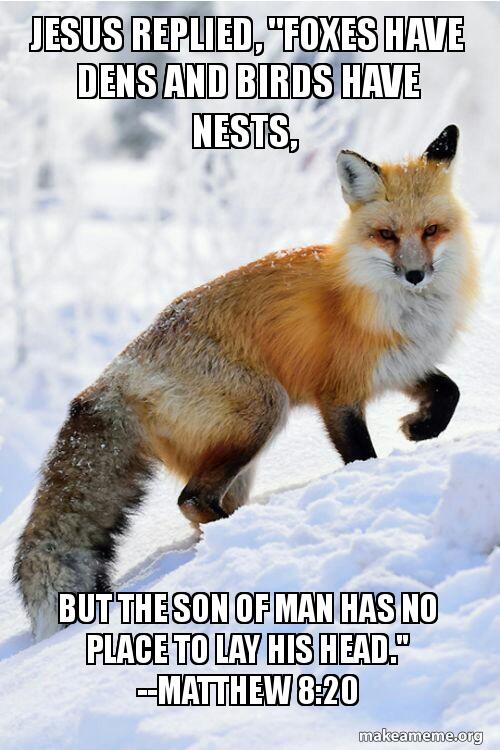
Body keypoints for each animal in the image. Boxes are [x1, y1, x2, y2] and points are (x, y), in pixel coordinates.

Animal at [14, 125, 478, 640]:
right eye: (386, 235)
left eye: (431, 230)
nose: (415, 274)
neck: (391, 306)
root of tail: (114, 374)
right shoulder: (337, 395)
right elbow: (362, 456)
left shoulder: (399, 366)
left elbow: (450, 391)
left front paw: (421, 428)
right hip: (261, 413)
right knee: (191, 499)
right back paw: (245, 528)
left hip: (241, 455)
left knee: (199, 506)